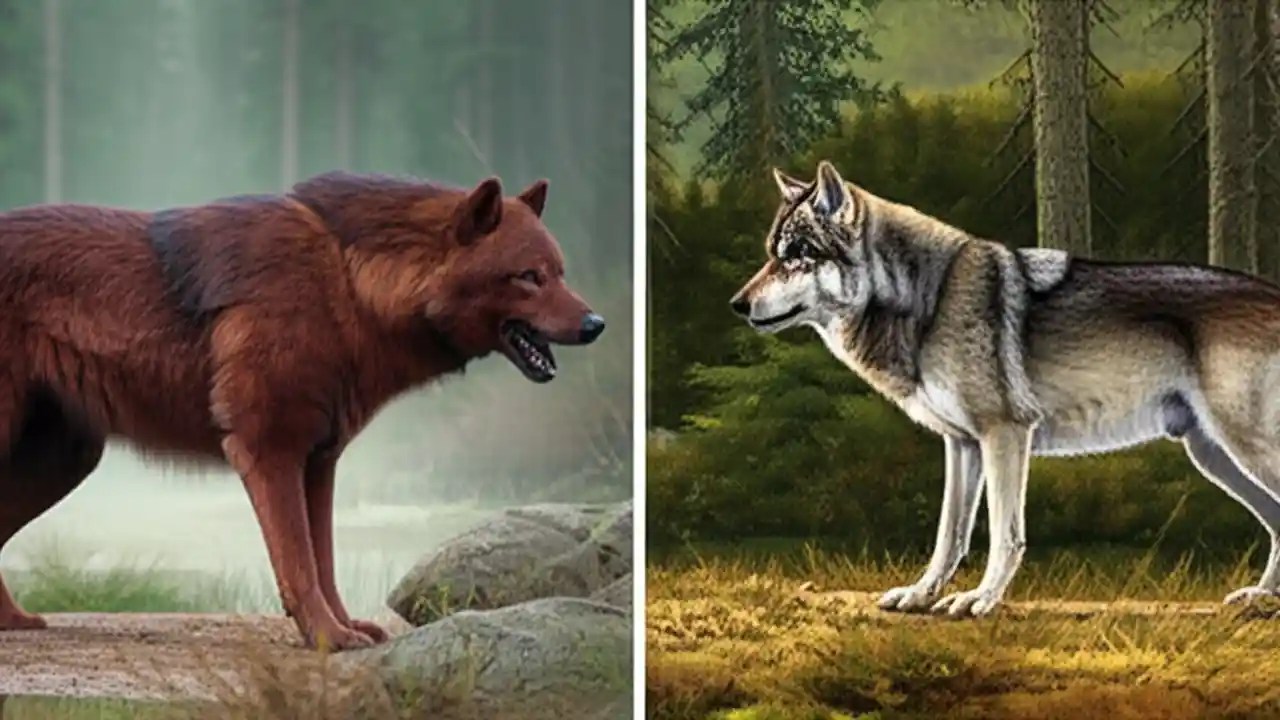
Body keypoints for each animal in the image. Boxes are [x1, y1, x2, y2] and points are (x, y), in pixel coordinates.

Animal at [0, 172, 605, 650]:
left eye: (560, 272)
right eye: (528, 276)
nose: (596, 324)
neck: (348, 285)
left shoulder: (318, 461)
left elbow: (325, 564)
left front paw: (345, 628)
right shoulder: (271, 453)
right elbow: (299, 564)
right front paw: (326, 638)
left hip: (67, 462)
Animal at [730, 160, 1280, 617]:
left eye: (798, 255)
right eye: (771, 255)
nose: (737, 304)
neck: (930, 301)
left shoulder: (1005, 435)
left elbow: (1003, 533)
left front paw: (981, 599)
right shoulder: (961, 444)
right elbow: (948, 536)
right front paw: (921, 595)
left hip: (1240, 450)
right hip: (1212, 455)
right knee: (1277, 521)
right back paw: (1260, 599)